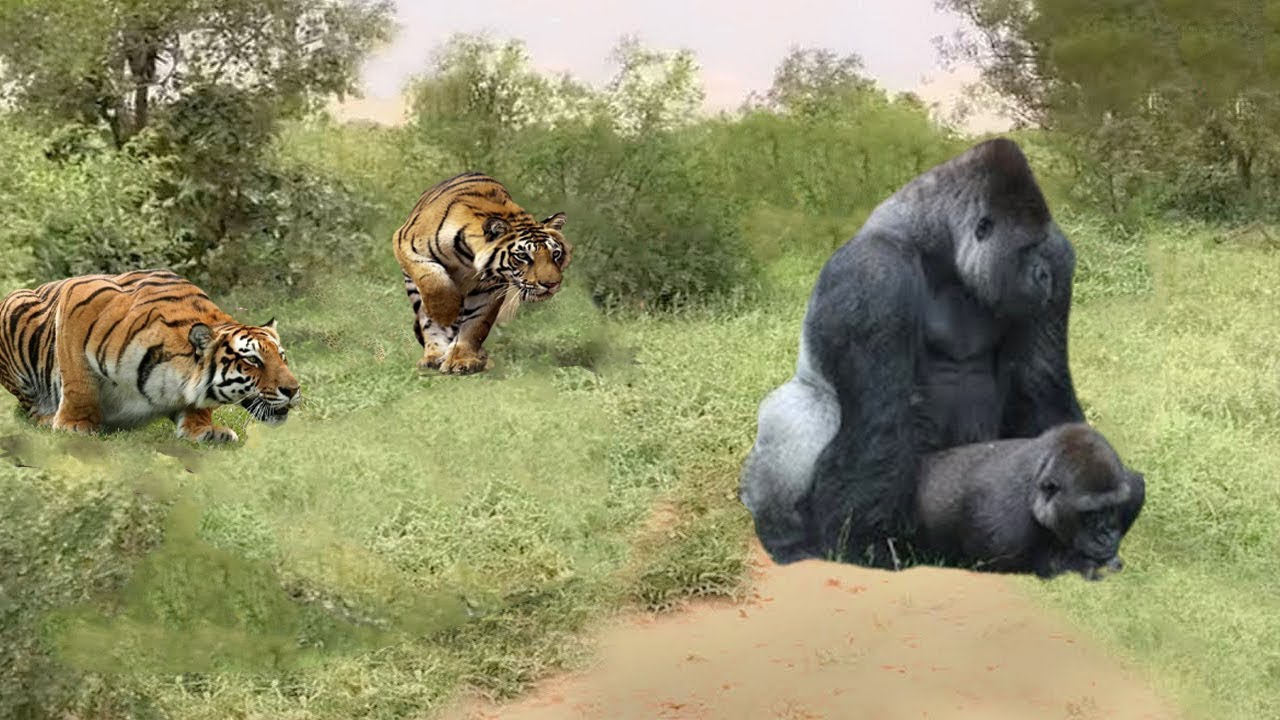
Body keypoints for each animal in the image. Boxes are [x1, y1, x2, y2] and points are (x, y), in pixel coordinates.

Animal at [0, 269, 300, 443]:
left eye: (282, 357)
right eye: (252, 360)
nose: (293, 390)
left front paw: (205, 430)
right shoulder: (80, 297)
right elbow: (78, 381)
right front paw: (74, 425)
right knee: (30, 405)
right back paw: (48, 417)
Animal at [393, 172, 573, 375]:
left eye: (555, 254)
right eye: (523, 256)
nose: (552, 284)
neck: (469, 259)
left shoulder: (490, 287)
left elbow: (476, 325)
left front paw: (461, 360)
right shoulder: (403, 241)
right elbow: (434, 281)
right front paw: (445, 313)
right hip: (413, 288)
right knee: (427, 320)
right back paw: (433, 356)